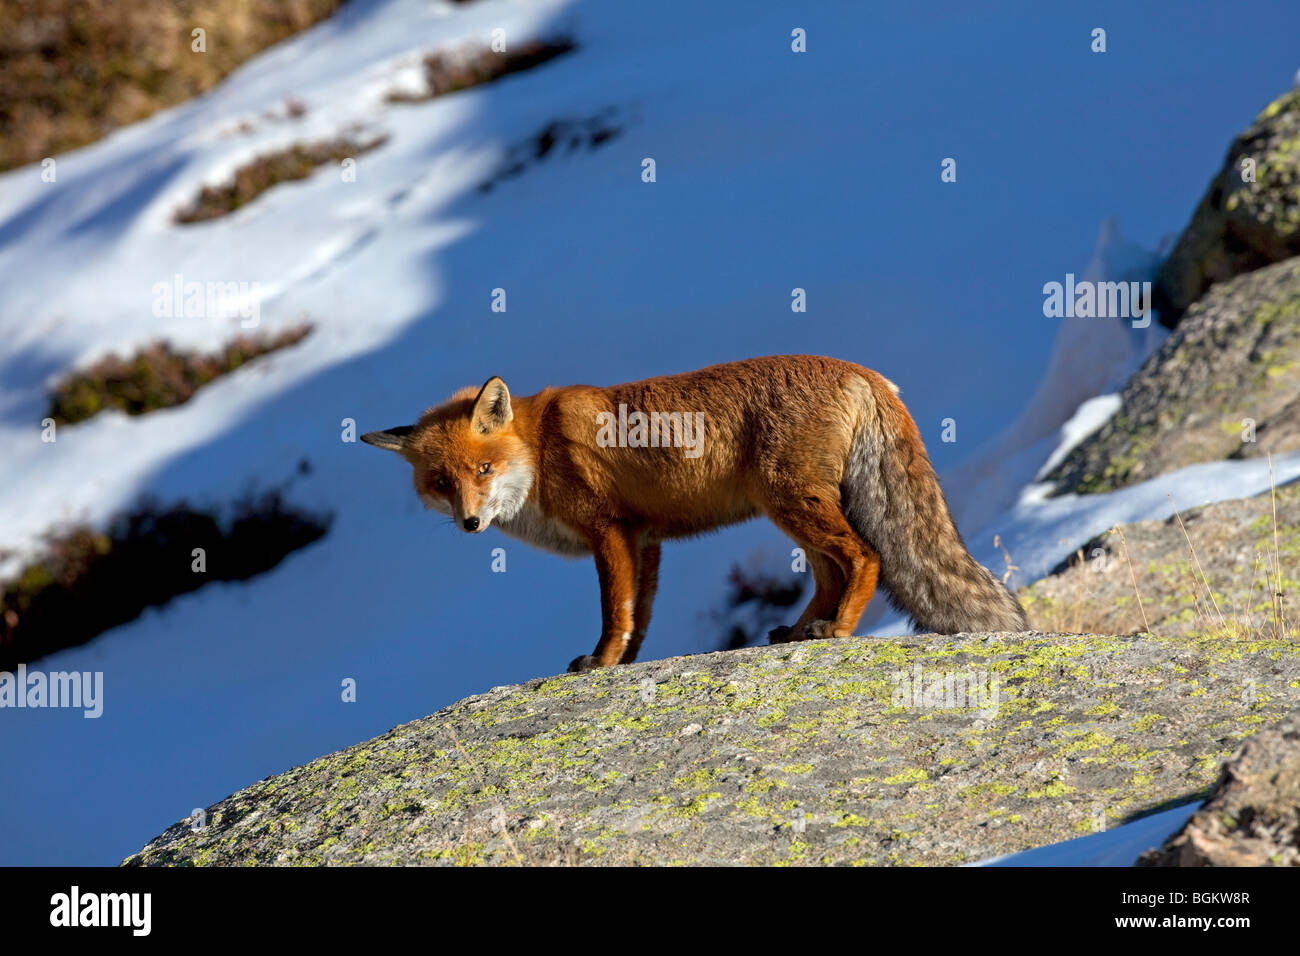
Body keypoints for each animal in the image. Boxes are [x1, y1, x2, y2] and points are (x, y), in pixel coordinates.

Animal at [361, 355, 1028, 672]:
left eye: (483, 470)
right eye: (442, 483)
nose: (471, 524)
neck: (541, 447)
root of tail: (867, 374)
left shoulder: (608, 532)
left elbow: (614, 612)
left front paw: (601, 664)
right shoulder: (645, 540)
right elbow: (639, 618)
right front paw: (624, 666)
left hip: (793, 504)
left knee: (864, 557)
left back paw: (837, 630)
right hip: (792, 510)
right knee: (829, 574)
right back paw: (800, 630)